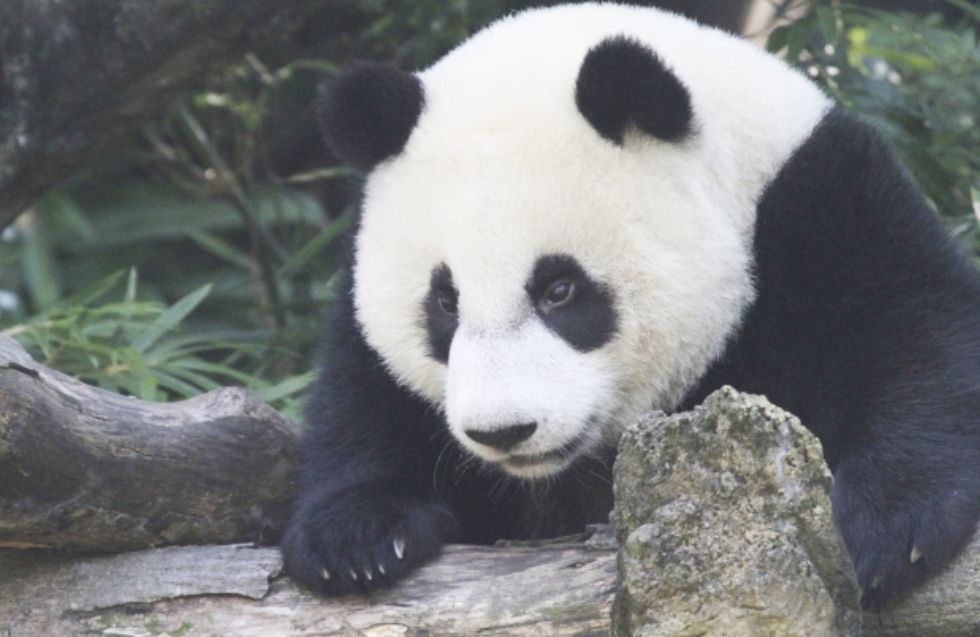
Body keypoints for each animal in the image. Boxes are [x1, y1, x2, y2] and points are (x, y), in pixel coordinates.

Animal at [281, 3, 980, 609]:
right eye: (446, 302)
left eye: (559, 290)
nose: (503, 431)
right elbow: (364, 401)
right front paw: (354, 540)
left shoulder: (822, 200)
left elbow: (916, 333)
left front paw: (882, 530)